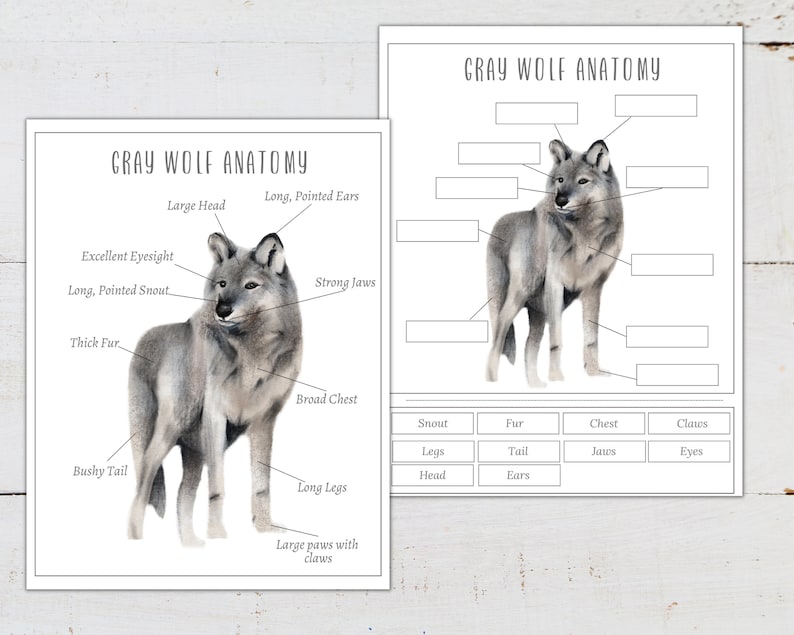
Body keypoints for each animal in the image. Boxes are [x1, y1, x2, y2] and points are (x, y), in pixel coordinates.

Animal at [127, 232, 302, 546]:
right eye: (222, 284)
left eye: (250, 285)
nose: (222, 310)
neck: (251, 354)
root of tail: (144, 340)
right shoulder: (215, 416)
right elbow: (217, 487)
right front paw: (218, 534)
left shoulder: (264, 421)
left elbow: (261, 484)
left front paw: (264, 528)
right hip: (167, 431)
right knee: (142, 488)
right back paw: (136, 538)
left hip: (193, 453)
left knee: (182, 496)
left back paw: (191, 544)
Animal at [485, 139, 623, 387]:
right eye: (560, 180)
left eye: (582, 181)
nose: (560, 200)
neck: (583, 235)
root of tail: (498, 224)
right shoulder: (555, 284)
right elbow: (556, 340)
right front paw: (557, 377)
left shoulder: (593, 288)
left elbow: (591, 338)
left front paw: (593, 373)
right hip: (517, 296)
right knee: (498, 337)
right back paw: (492, 381)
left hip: (538, 314)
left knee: (528, 348)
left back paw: (535, 385)